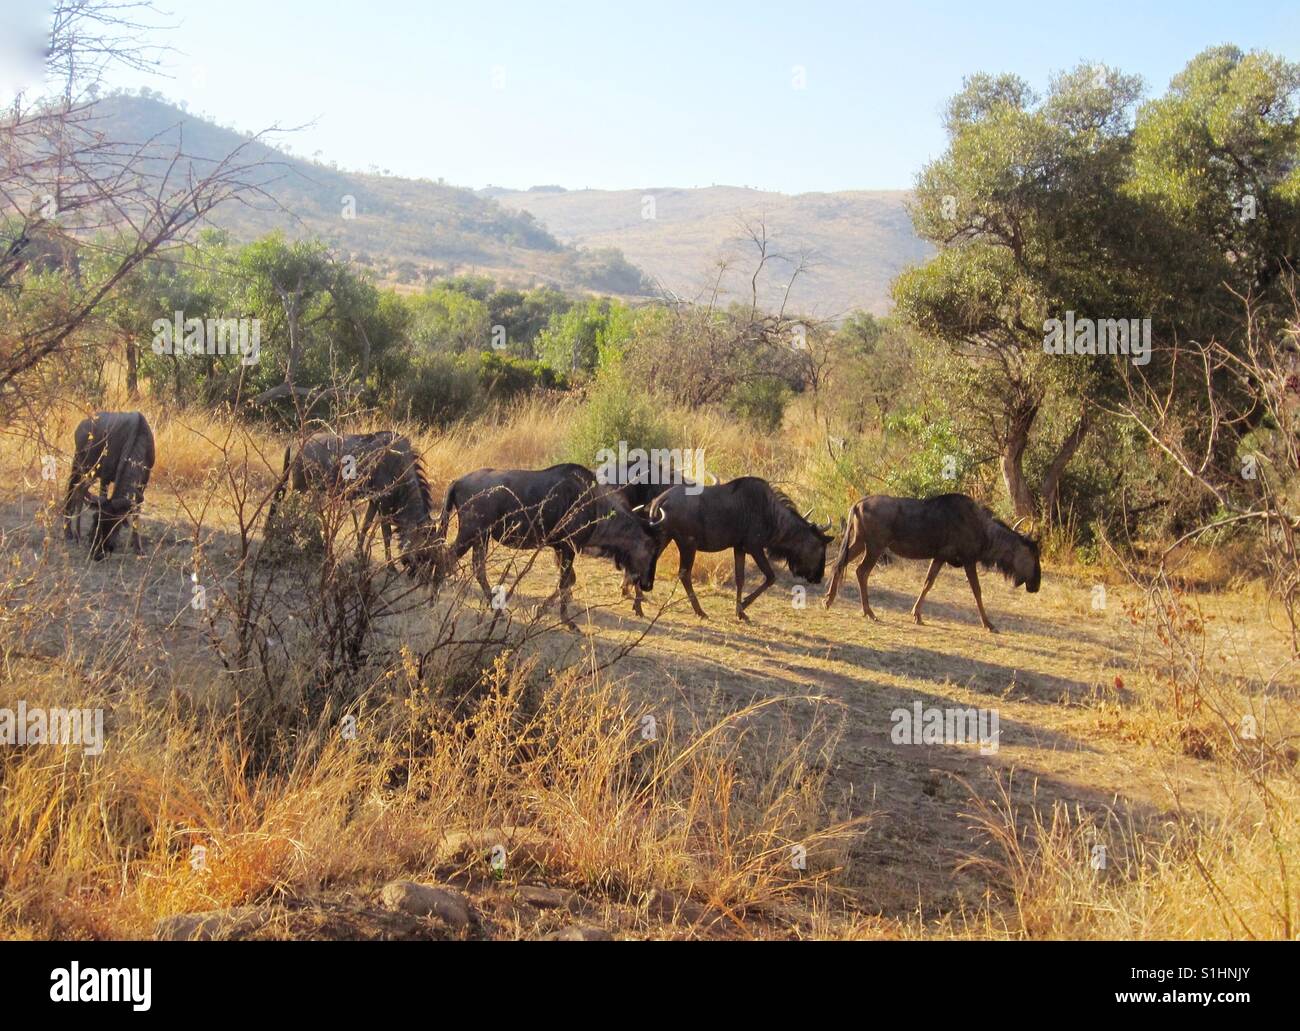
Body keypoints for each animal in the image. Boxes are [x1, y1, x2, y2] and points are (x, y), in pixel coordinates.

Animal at [823, 492, 1041, 632]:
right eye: (1033, 554)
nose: (1036, 585)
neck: (984, 531)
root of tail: (858, 504)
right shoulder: (968, 559)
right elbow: (977, 591)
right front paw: (989, 624)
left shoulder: (940, 557)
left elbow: (928, 582)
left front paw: (917, 615)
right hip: (874, 546)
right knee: (861, 571)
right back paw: (868, 612)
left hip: (860, 543)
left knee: (839, 564)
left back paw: (829, 600)